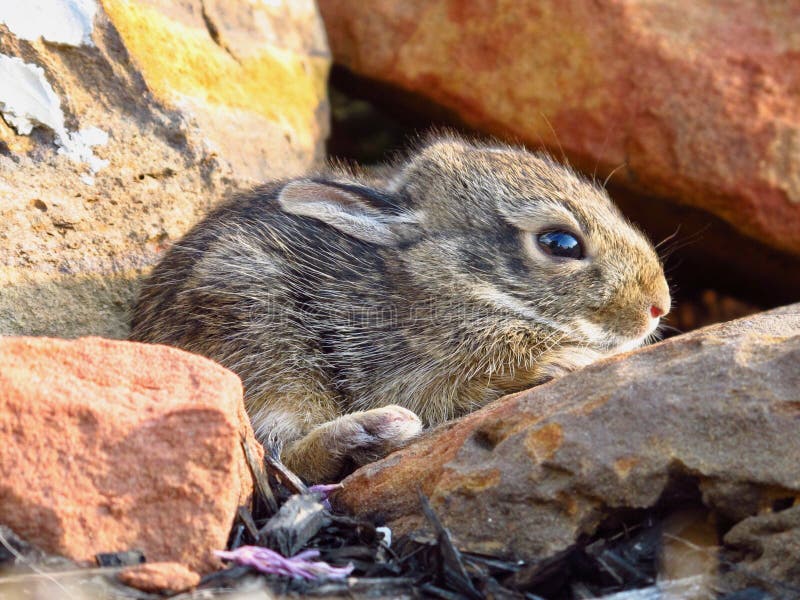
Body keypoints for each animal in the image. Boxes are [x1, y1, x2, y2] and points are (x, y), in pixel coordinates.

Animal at [130, 134, 671, 483]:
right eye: (560, 243)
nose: (659, 305)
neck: (457, 283)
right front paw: (566, 361)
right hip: (262, 343)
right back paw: (373, 431)